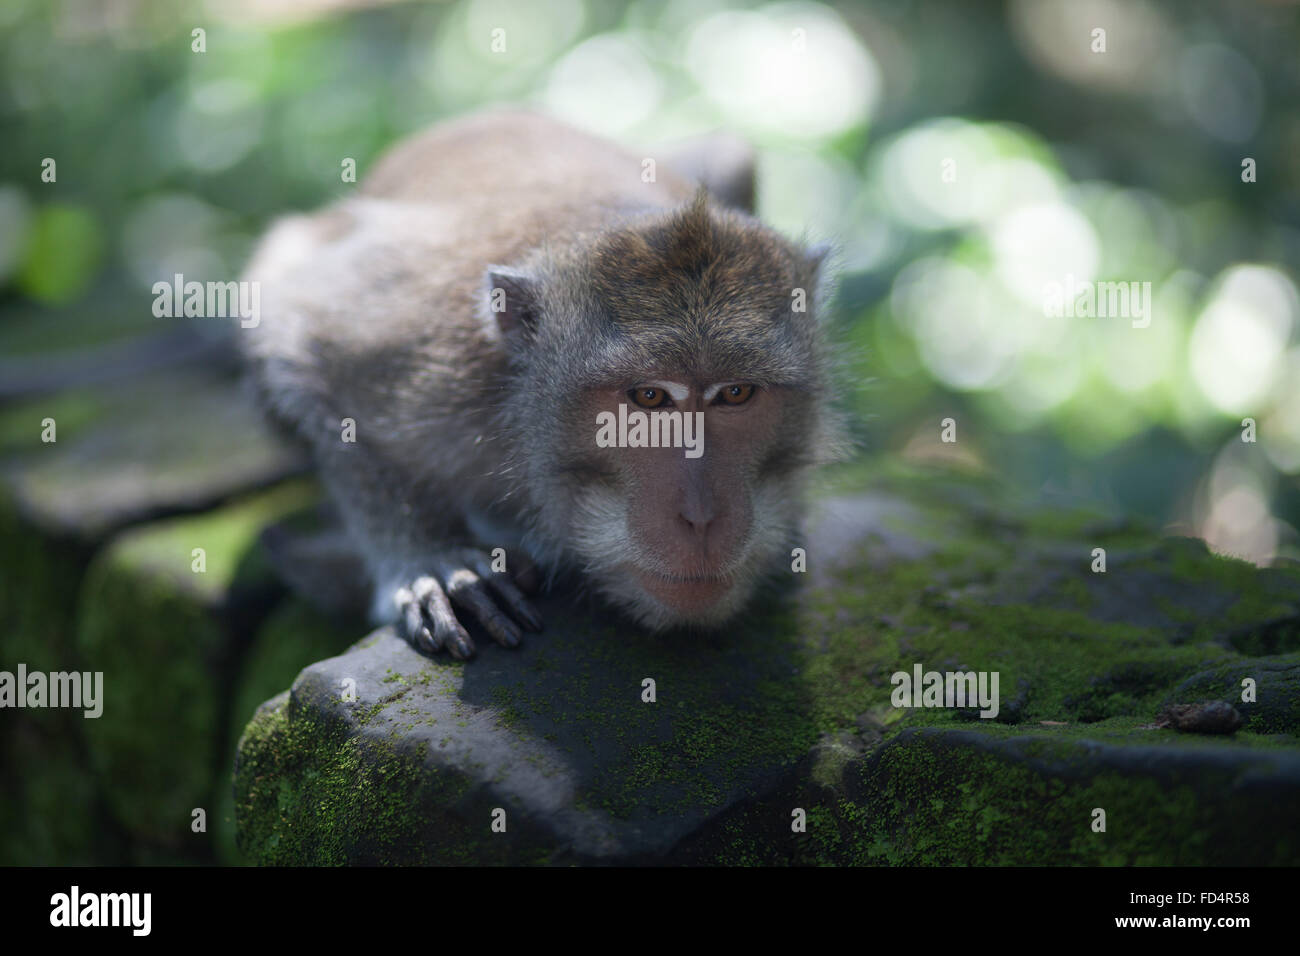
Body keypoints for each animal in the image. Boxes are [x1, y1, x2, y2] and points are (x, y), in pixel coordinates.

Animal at [238, 109, 844, 659]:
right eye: (648, 398)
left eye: (735, 394)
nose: (700, 519)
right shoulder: (427, 356)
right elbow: (307, 334)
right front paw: (433, 562)